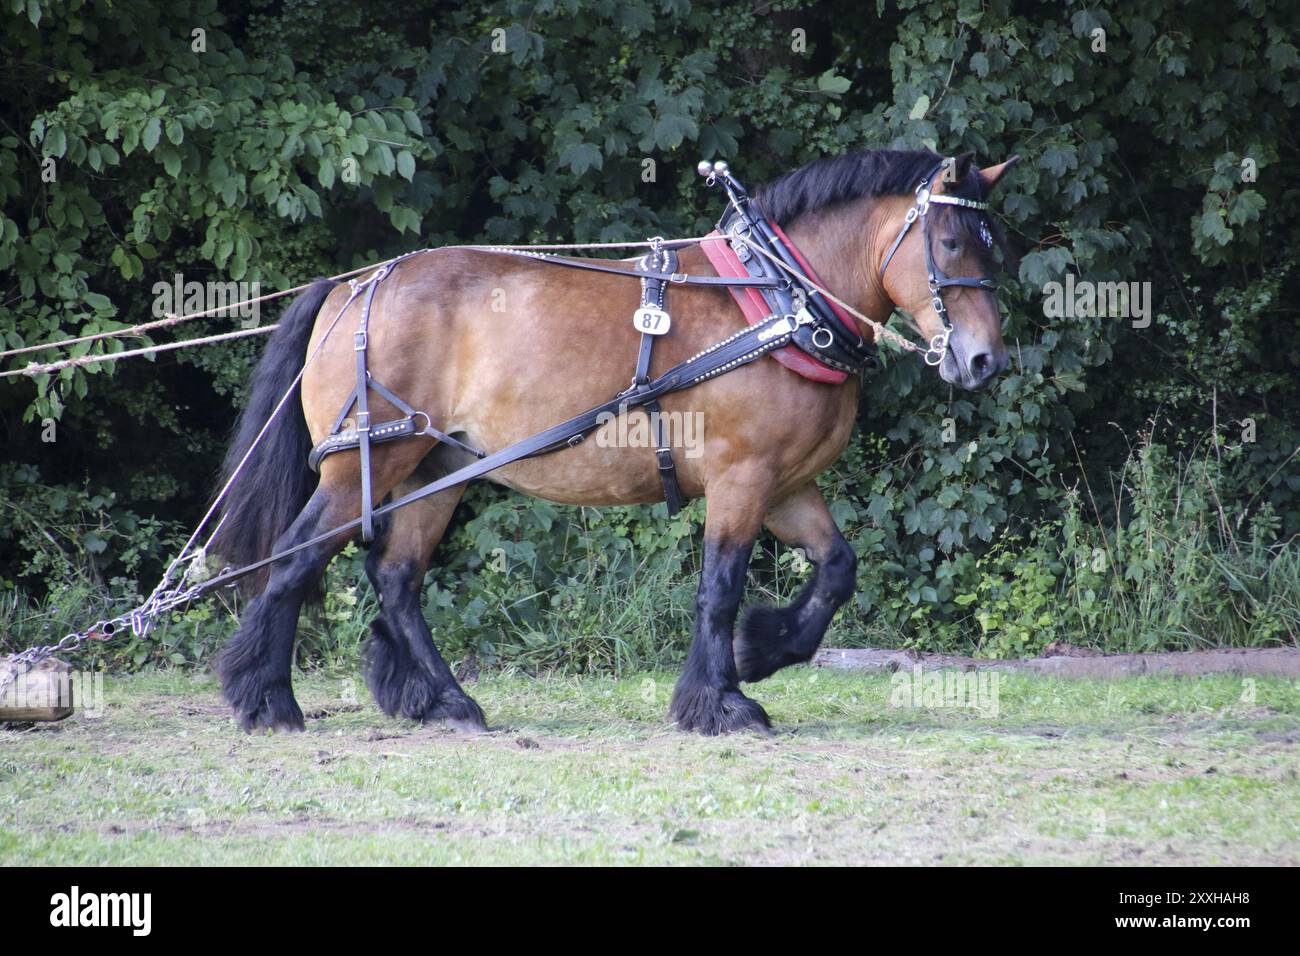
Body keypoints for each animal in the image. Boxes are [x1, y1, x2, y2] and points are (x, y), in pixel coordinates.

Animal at [211, 148, 1019, 736]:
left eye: (996, 248)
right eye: (950, 242)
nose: (985, 360)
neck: (781, 300)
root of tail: (357, 286)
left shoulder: (788, 484)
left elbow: (837, 569)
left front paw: (763, 651)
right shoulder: (742, 477)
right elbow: (719, 587)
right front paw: (720, 702)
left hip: (432, 469)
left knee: (398, 579)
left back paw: (445, 702)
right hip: (365, 466)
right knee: (296, 558)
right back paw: (268, 700)